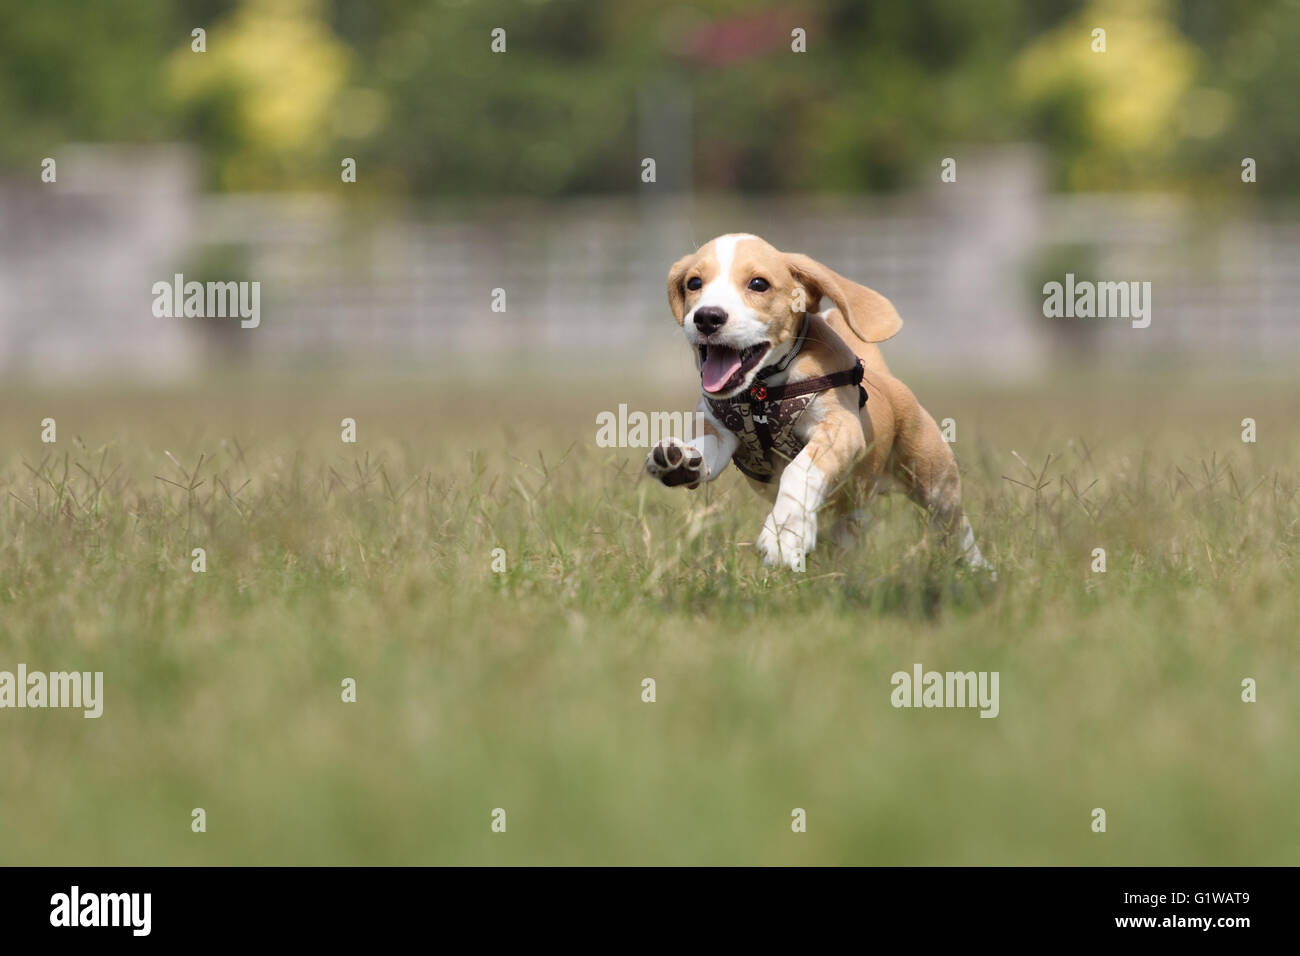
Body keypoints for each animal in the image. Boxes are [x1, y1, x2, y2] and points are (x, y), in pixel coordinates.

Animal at [644, 234, 987, 572]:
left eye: (758, 284)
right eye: (694, 283)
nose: (707, 317)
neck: (762, 390)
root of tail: (888, 380)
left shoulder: (841, 428)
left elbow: (800, 471)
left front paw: (784, 537)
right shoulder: (716, 420)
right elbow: (706, 445)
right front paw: (682, 460)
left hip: (935, 478)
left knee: (956, 526)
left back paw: (977, 568)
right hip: (851, 511)